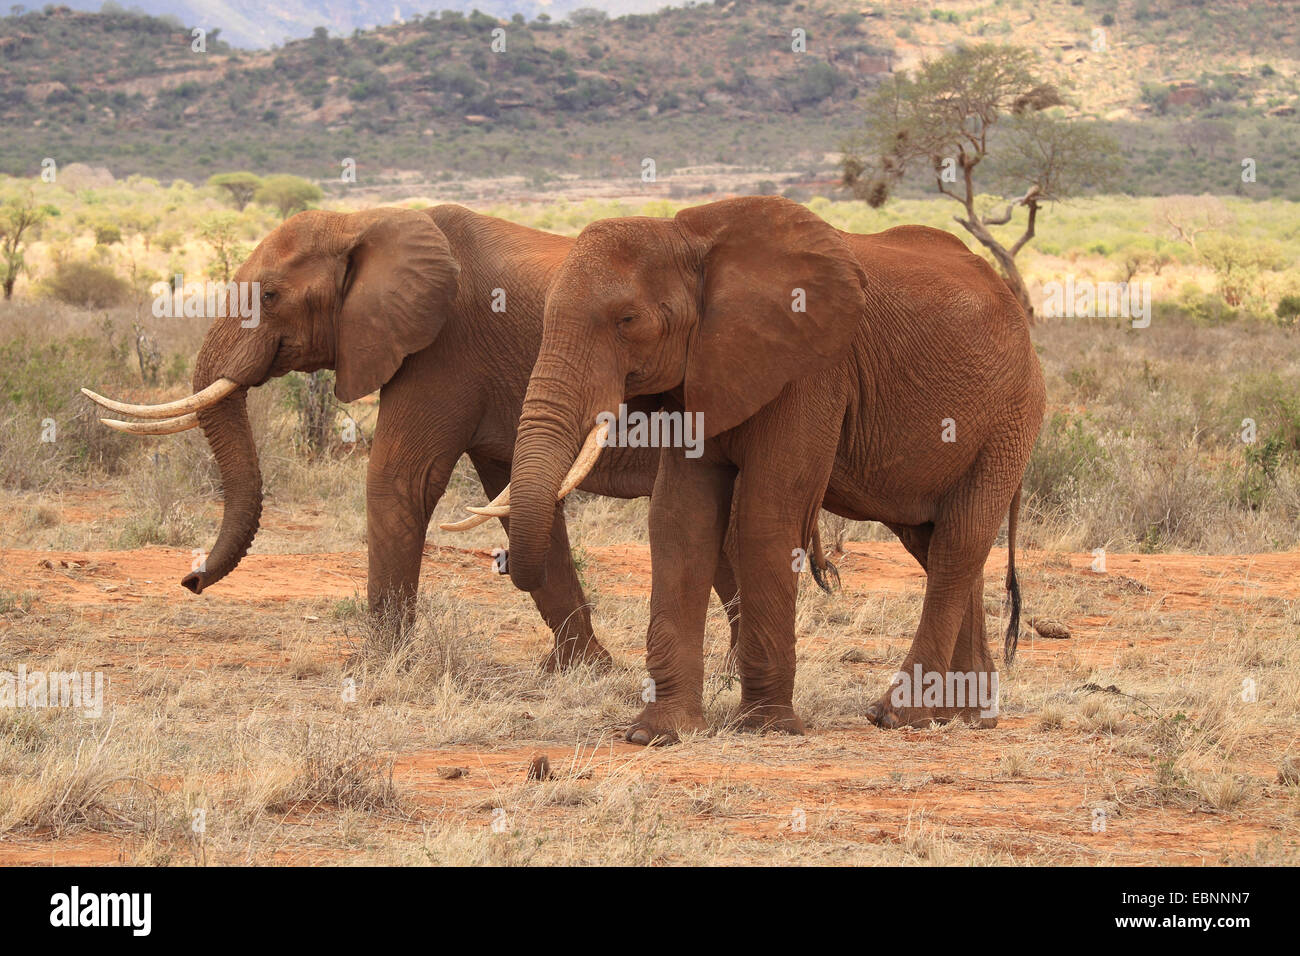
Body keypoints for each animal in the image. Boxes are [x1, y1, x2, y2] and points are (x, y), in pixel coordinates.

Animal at [81, 204, 767, 670]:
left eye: (270, 295)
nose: (189, 581)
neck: (365, 221)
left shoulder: (442, 349)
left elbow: (399, 481)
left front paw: (374, 667)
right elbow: (514, 500)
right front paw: (583, 671)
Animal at [449, 196, 1045, 742]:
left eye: (627, 321)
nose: (505, 564)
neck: (689, 239)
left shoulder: (813, 369)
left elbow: (766, 514)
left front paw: (765, 727)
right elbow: (680, 518)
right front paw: (656, 733)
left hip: (1010, 417)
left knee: (957, 544)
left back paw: (897, 716)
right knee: (935, 543)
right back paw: (965, 717)